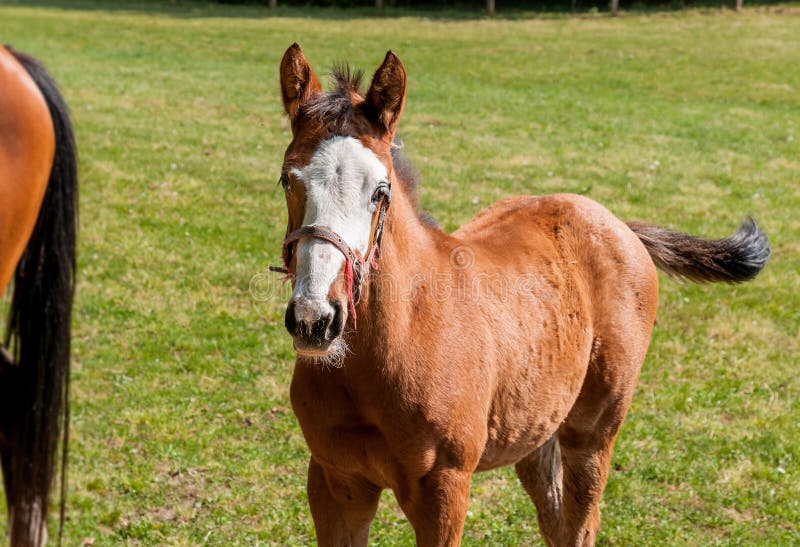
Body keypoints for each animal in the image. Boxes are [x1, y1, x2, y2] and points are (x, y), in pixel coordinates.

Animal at [273, 43, 769, 546]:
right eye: (287, 179)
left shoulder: (443, 489)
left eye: (380, 190)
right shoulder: (335, 480)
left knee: (582, 523)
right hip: (536, 425)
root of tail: (619, 224)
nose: (315, 318)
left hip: (593, 431)